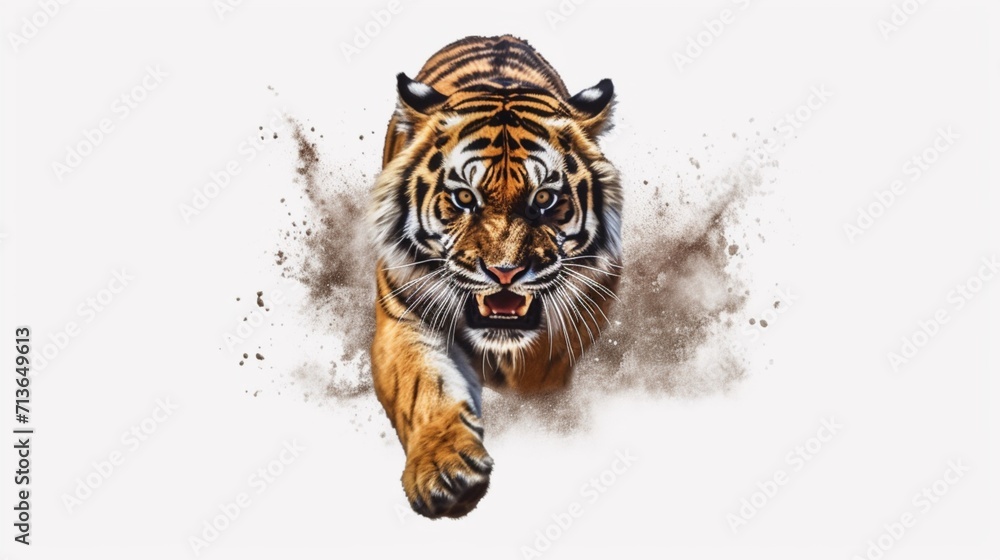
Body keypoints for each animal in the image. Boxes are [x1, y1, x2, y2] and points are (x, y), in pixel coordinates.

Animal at [369, 35, 622, 519]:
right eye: (465, 198)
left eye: (544, 198)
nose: (505, 272)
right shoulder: (403, 314)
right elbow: (420, 385)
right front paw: (444, 470)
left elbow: (542, 368)